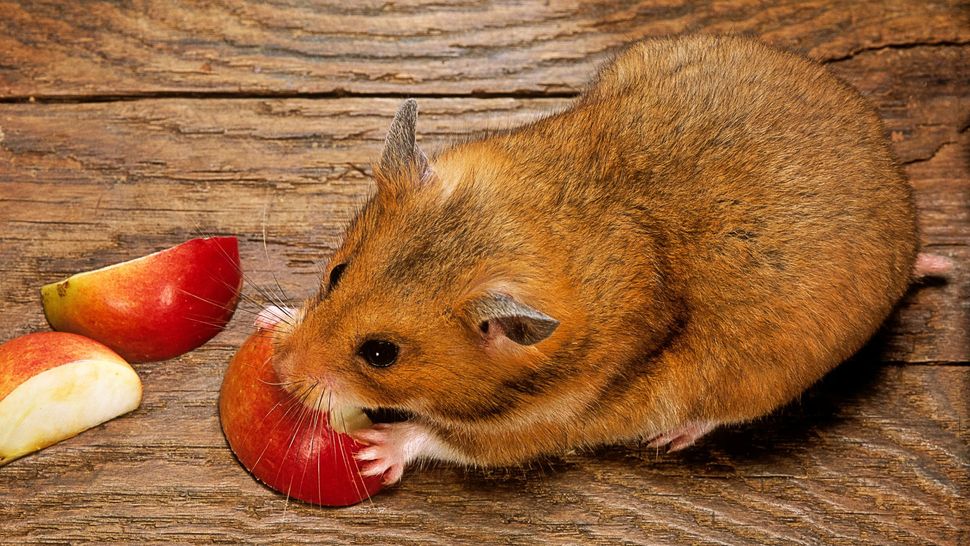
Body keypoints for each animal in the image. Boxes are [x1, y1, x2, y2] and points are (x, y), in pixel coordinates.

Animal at [267, 35, 932, 485]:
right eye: (336, 274)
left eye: (381, 354)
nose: (280, 370)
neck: (550, 226)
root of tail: (910, 226)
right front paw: (272, 320)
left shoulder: (545, 423)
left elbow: (440, 438)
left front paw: (377, 449)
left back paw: (672, 437)